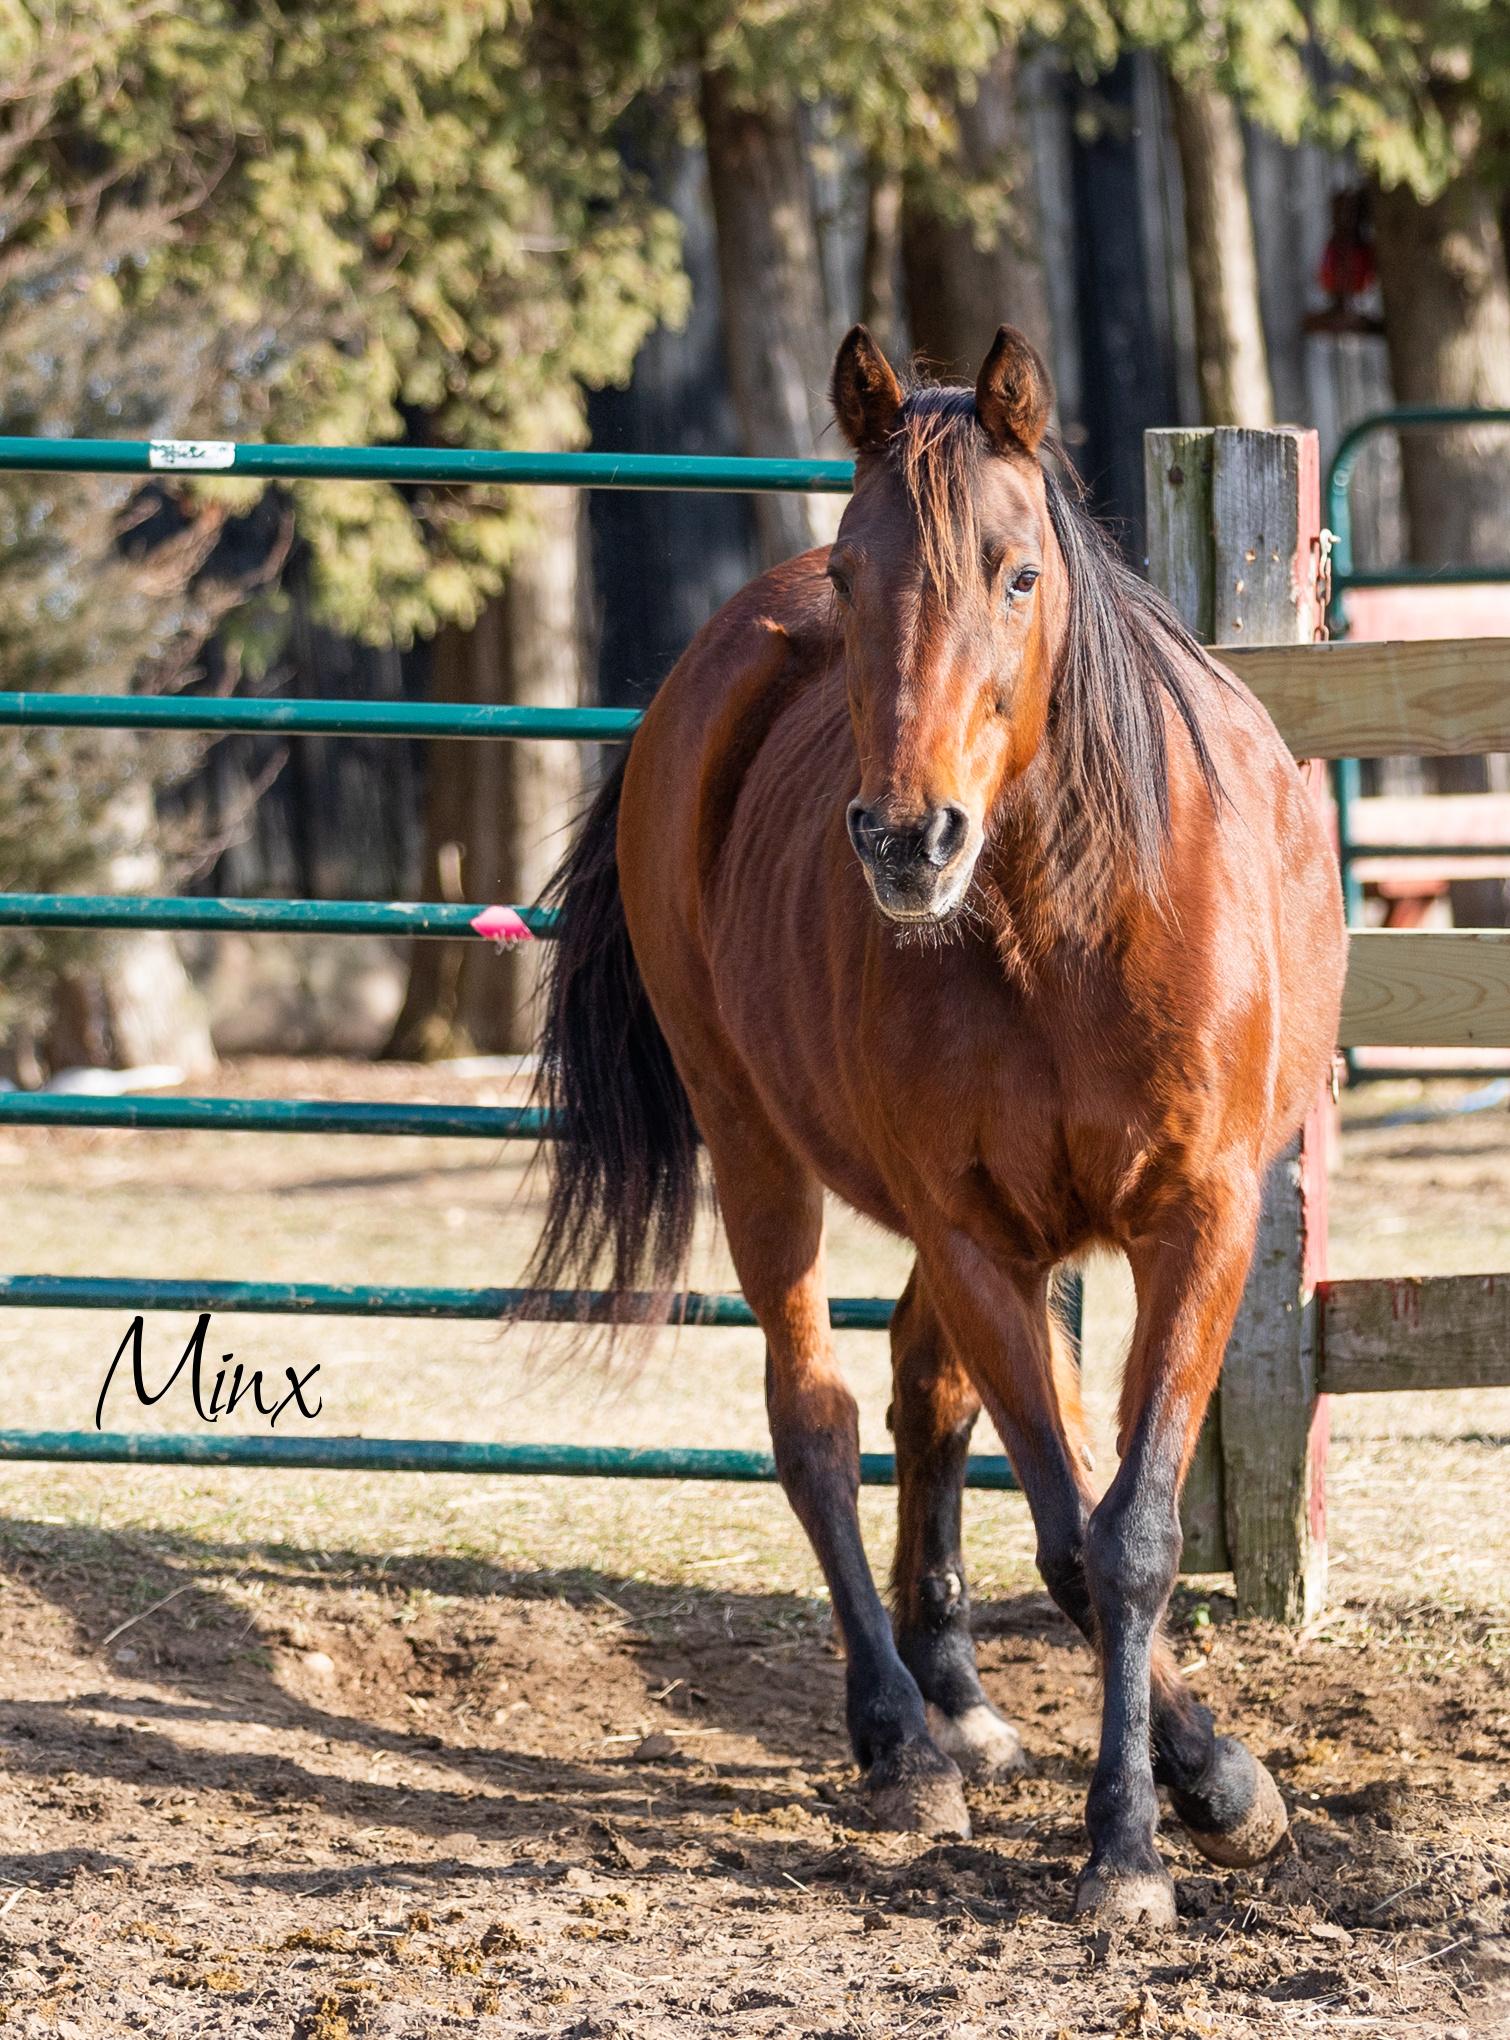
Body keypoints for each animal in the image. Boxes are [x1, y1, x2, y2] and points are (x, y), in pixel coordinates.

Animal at [526, 323, 1347, 1927]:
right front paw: (1154, 1822)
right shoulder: (982, 1243)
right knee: (818, 1428)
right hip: (757, 1153)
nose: (908, 840)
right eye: (857, 578)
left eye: (1016, 573)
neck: (1069, 921)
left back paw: (956, 1696)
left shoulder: (1197, 1225)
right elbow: (1079, 1537)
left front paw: (1191, 1805)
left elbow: (1129, 1525)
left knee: (919, 1398)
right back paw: (899, 1738)